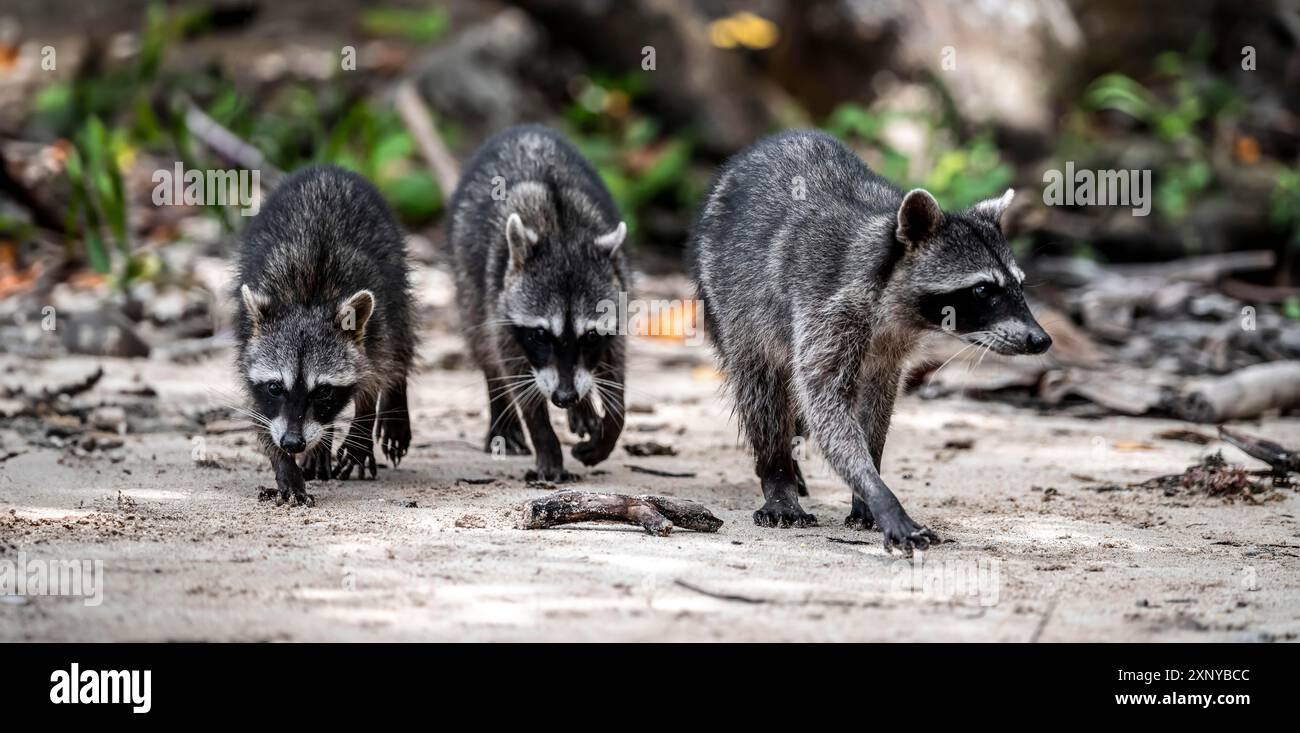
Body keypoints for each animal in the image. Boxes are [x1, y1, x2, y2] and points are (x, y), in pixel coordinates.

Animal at [236, 165, 416, 506]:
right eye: (275, 387)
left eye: (323, 392)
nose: (293, 443)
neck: (309, 299)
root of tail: (328, 170)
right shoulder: (247, 345)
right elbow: (261, 414)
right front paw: (285, 466)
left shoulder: (376, 325)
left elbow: (374, 370)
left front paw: (361, 426)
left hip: (395, 274)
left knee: (401, 339)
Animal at [449, 125, 629, 482]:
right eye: (541, 335)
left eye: (590, 336)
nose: (564, 397)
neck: (562, 230)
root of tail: (526, 129)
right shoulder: (500, 305)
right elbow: (517, 376)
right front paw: (546, 444)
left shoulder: (620, 294)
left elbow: (615, 371)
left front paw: (608, 428)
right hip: (469, 277)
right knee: (483, 347)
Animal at [690, 130, 1050, 553]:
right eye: (982, 290)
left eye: (1020, 286)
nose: (1041, 340)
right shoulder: (827, 308)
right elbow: (826, 405)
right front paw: (879, 494)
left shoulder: (891, 347)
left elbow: (876, 401)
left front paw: (868, 487)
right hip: (728, 293)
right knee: (759, 384)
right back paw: (777, 474)